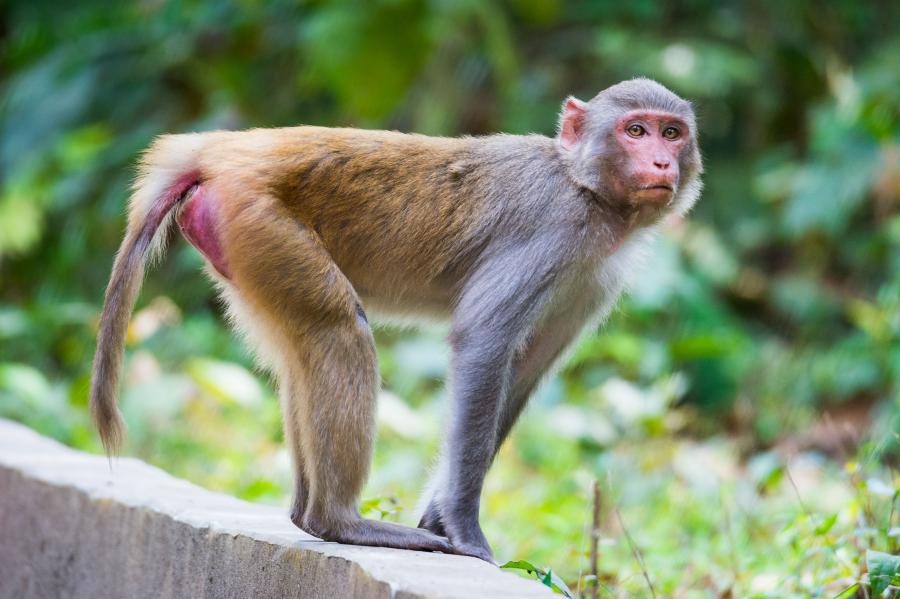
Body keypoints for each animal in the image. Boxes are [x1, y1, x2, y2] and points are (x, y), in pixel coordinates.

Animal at [90, 78, 702, 562]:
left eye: (672, 133)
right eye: (636, 131)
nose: (662, 163)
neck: (588, 189)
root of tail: (223, 150)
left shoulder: (594, 277)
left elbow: (524, 371)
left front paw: (436, 516)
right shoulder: (554, 230)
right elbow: (484, 343)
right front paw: (463, 525)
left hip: (243, 248)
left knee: (301, 353)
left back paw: (308, 514)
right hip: (261, 221)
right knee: (339, 330)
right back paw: (338, 521)